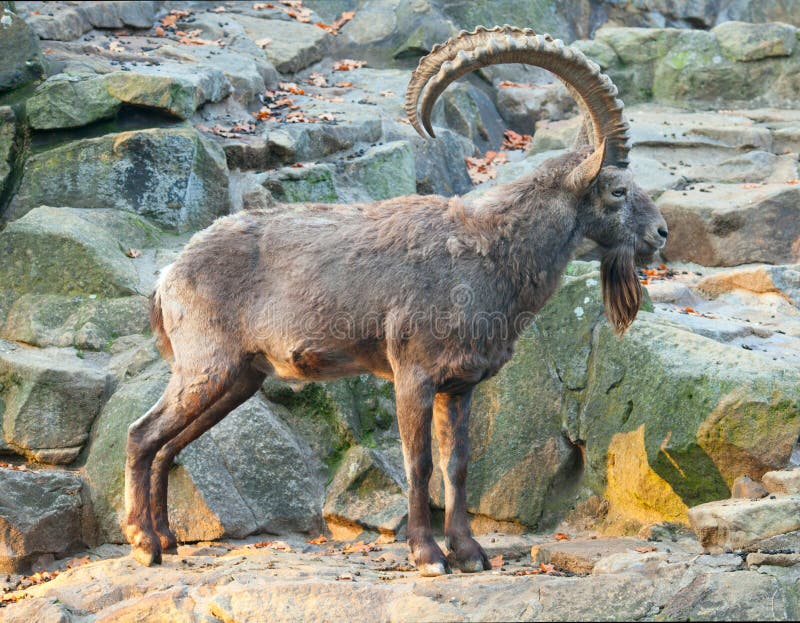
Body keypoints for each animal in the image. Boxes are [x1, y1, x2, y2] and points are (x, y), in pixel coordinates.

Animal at [124, 26, 669, 575]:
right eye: (618, 190)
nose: (661, 233)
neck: (491, 251)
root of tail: (170, 275)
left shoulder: (460, 385)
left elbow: (457, 464)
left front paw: (469, 551)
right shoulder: (413, 375)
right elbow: (418, 462)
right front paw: (427, 554)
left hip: (239, 377)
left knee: (169, 446)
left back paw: (167, 538)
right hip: (206, 365)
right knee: (142, 433)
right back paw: (143, 542)